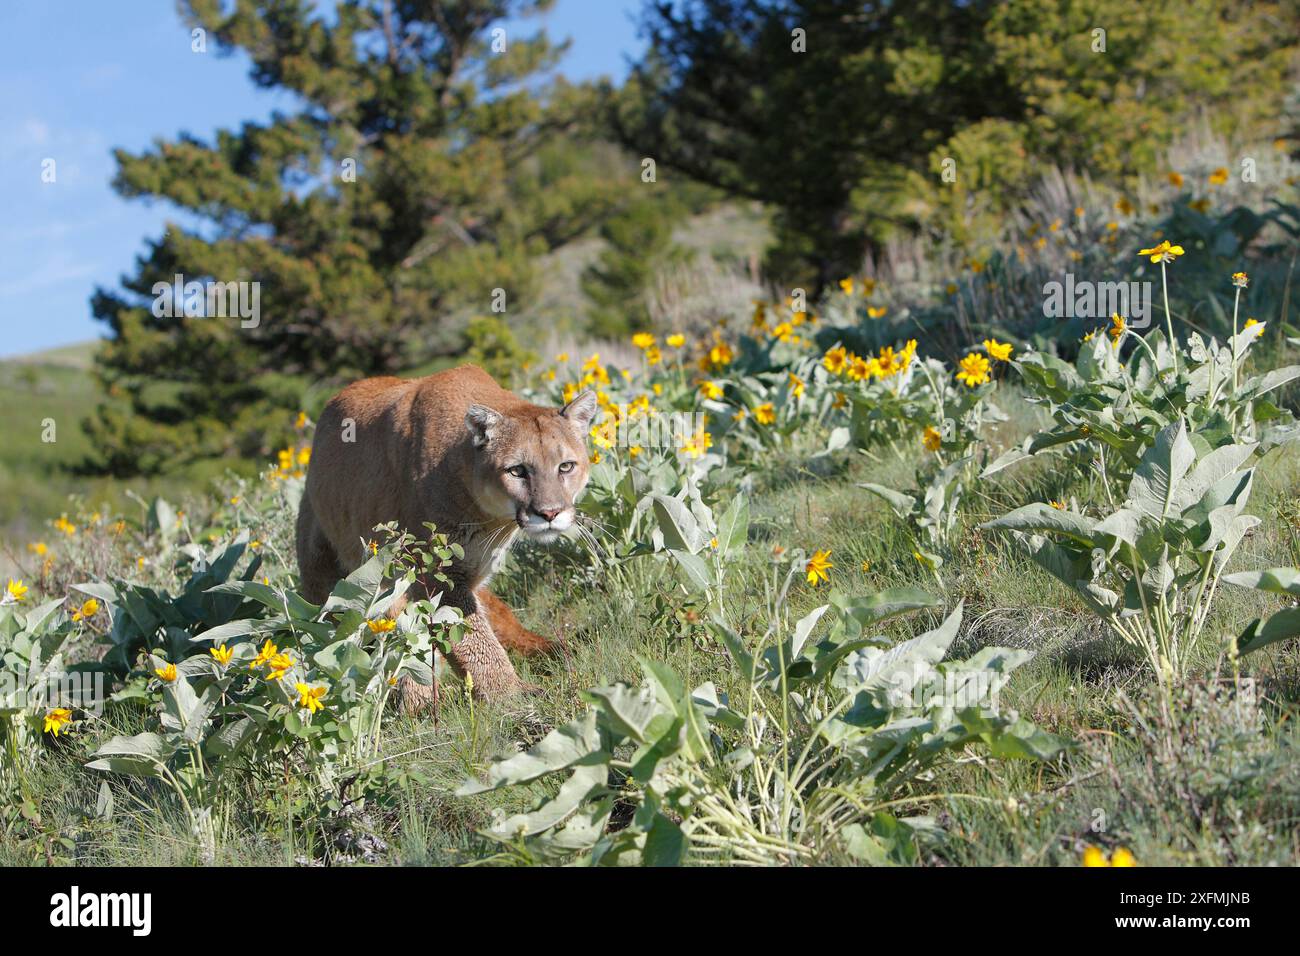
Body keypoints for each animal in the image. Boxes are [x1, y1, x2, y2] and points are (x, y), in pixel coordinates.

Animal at [295, 364, 597, 703]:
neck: (492, 519)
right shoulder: (437, 573)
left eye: (566, 466)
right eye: (517, 470)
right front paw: (510, 694)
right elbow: (473, 640)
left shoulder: (467, 576)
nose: (549, 513)